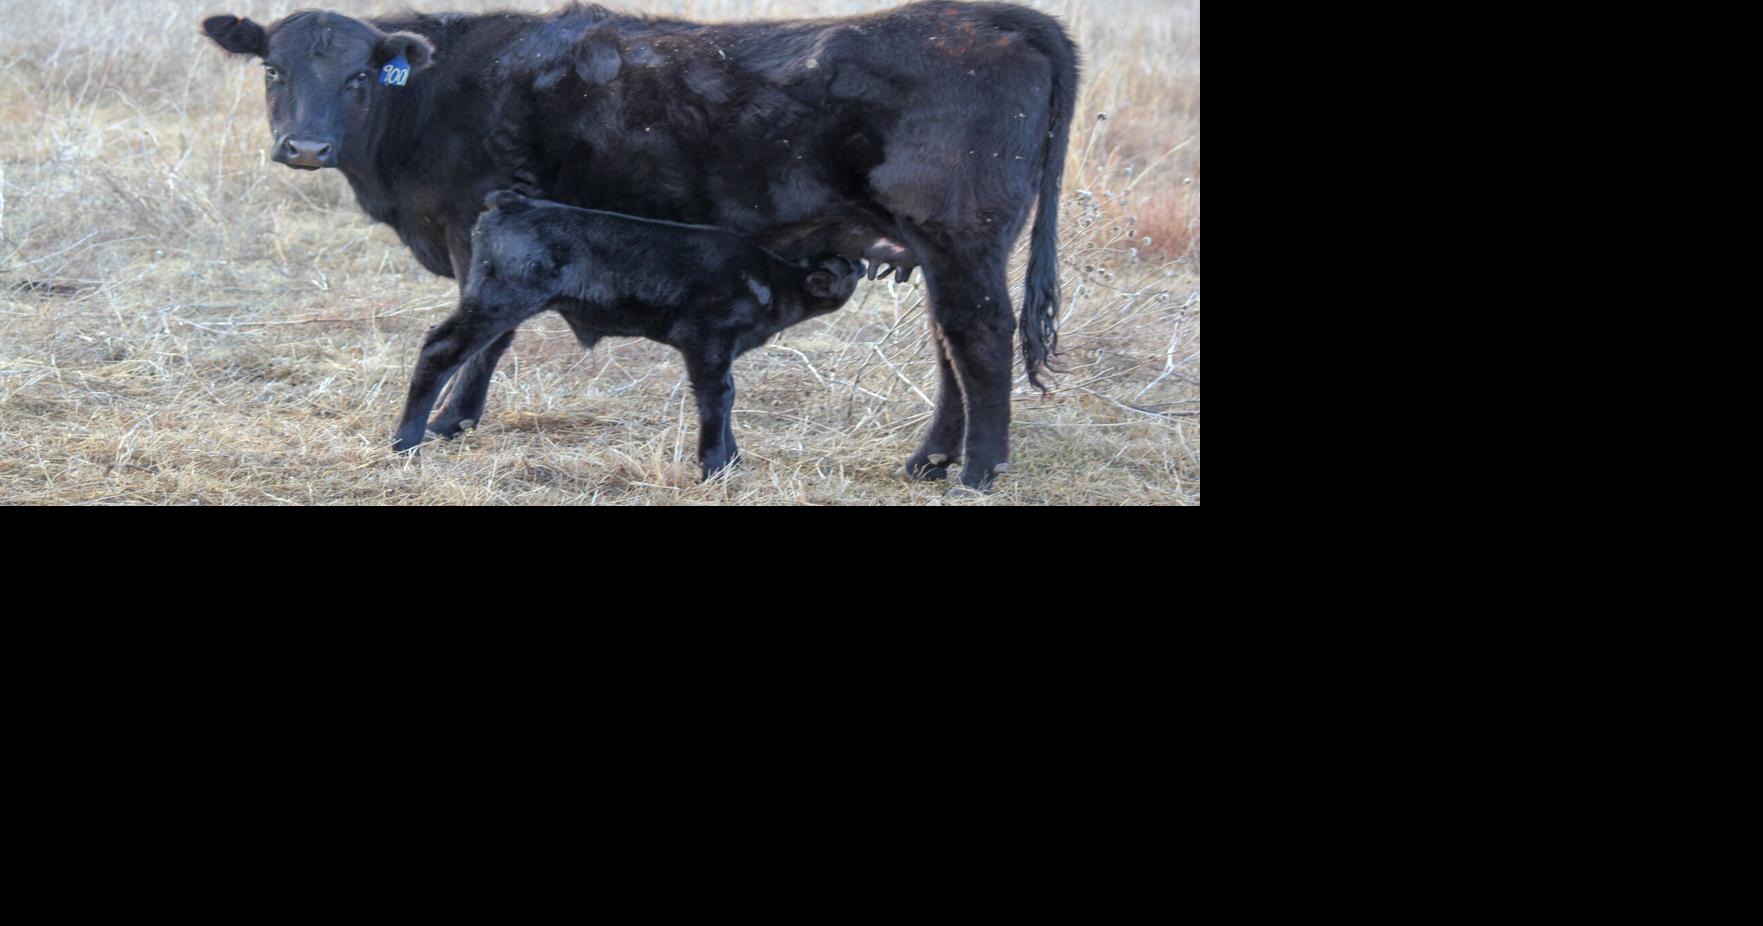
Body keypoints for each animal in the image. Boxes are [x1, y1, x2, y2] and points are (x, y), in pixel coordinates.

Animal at [394, 191, 865, 479]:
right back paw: (405, 444)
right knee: (440, 349)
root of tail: (513, 202)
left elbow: (726, 398)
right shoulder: (707, 341)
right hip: (496, 304)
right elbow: (719, 396)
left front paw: (731, 460)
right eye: (842, 267)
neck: (770, 278)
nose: (862, 262)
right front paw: (715, 465)